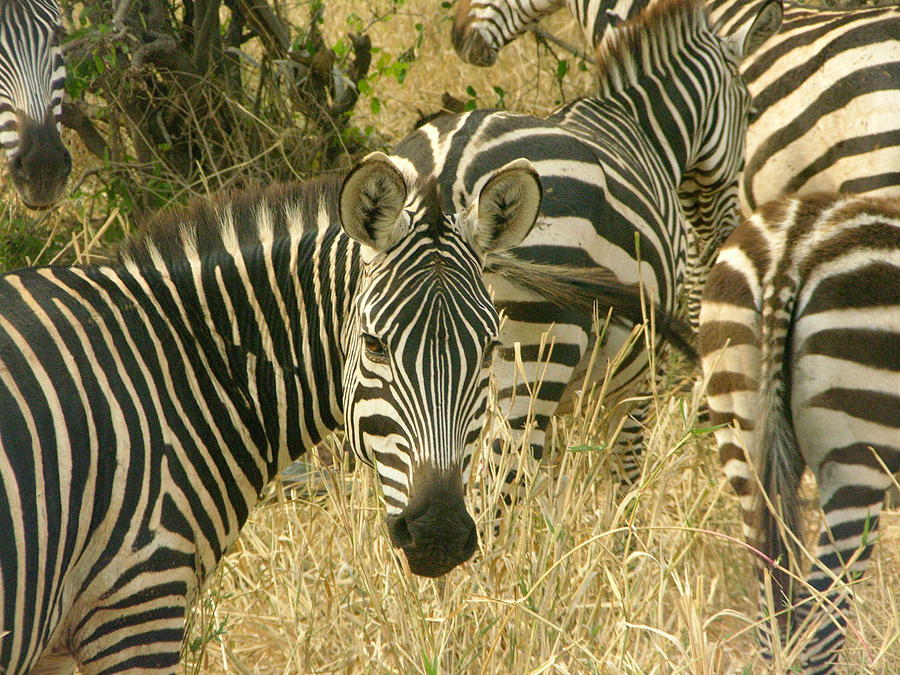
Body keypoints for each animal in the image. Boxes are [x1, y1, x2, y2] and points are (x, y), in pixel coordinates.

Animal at [392, 0, 780, 485]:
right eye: (749, 113)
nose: (722, 232)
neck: (639, 127)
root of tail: (449, 171)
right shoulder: (639, 367)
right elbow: (625, 464)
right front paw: (626, 508)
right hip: (533, 353)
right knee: (504, 474)